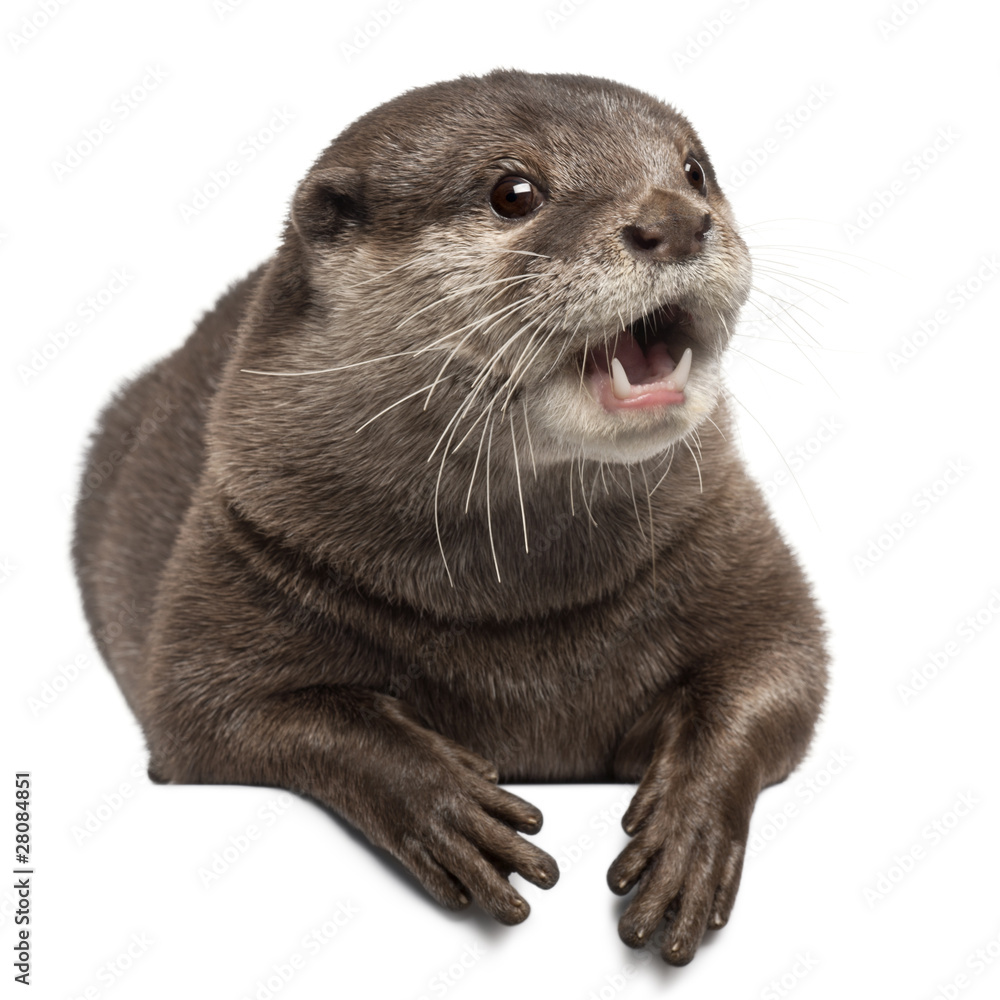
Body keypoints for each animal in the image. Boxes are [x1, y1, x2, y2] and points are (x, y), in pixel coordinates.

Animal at [72, 70, 828, 965]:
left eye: (693, 170)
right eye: (514, 192)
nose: (675, 220)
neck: (520, 604)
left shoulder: (727, 536)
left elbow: (781, 666)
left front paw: (690, 829)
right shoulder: (235, 550)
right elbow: (219, 717)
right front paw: (441, 803)